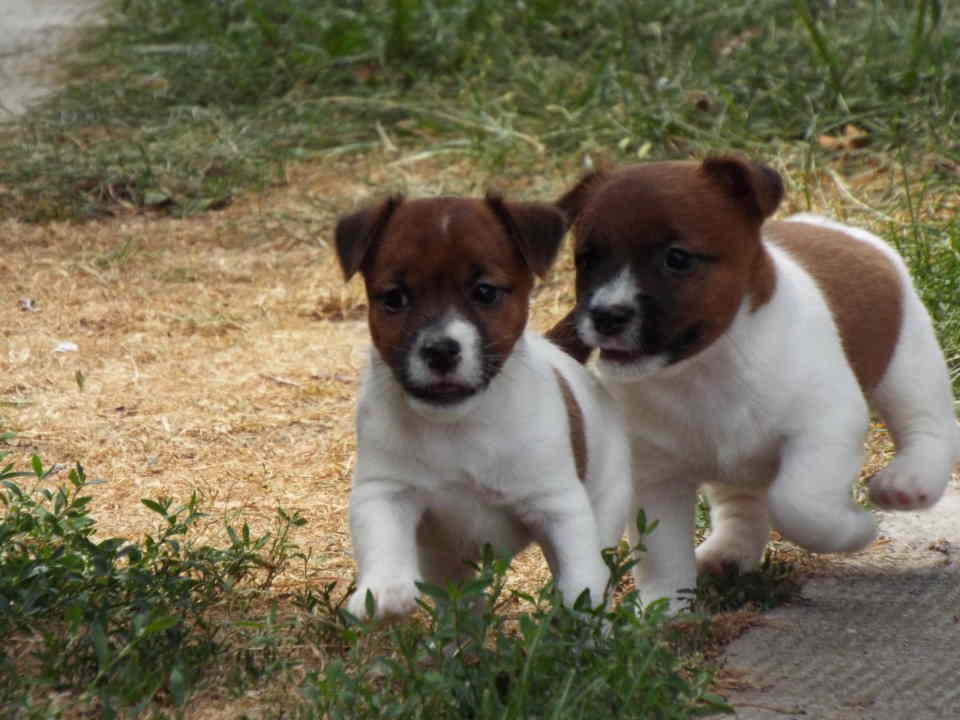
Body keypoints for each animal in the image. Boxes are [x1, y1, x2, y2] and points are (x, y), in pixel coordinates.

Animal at [334, 194, 632, 620]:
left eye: (485, 292)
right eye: (393, 299)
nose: (440, 350)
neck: (460, 424)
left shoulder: (558, 507)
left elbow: (580, 577)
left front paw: (582, 612)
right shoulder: (385, 491)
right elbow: (383, 538)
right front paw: (384, 591)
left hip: (606, 503)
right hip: (446, 565)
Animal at [548, 156, 960, 608]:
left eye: (677, 259)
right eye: (587, 260)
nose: (606, 316)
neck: (704, 368)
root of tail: (835, 229)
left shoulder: (824, 429)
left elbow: (799, 503)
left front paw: (856, 530)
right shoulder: (656, 476)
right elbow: (662, 555)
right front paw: (663, 609)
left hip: (907, 359)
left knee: (929, 423)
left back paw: (910, 481)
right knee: (742, 501)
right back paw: (729, 551)